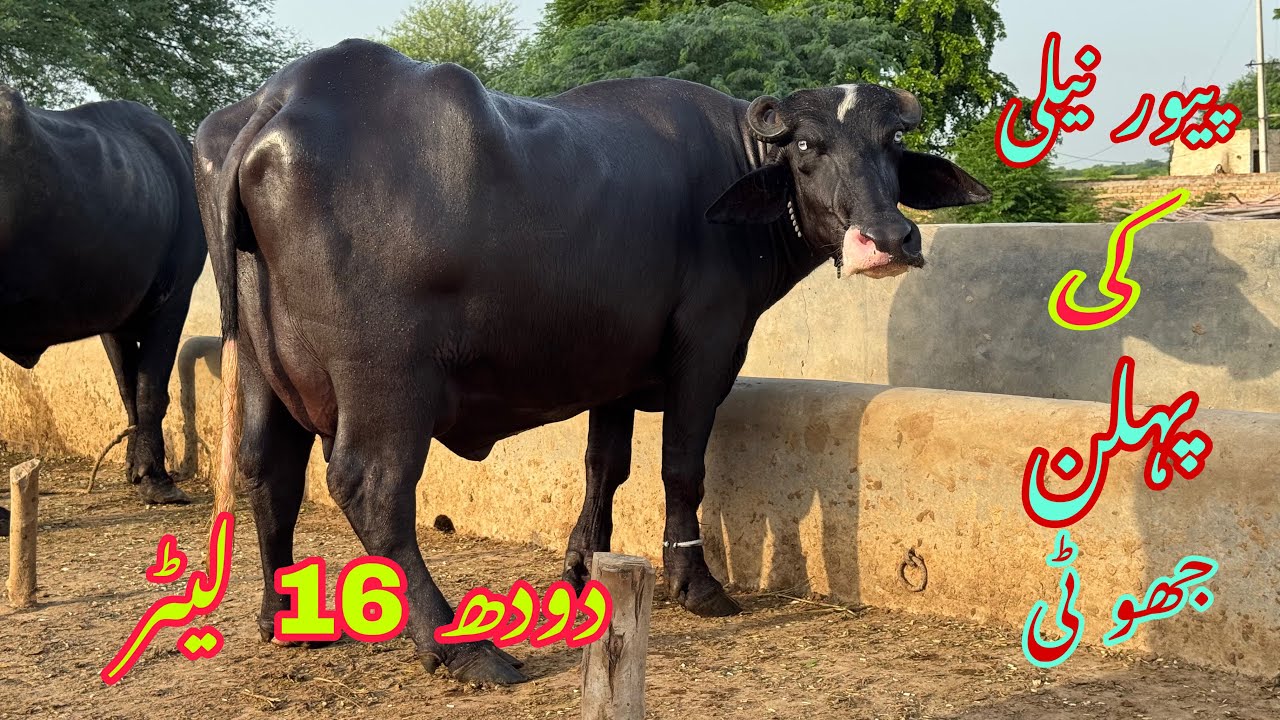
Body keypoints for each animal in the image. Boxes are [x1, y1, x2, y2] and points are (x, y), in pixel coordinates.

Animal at [1, 87, 206, 505]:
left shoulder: (117, 315)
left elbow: (128, 388)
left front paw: (136, 468)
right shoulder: (174, 300)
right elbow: (150, 390)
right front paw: (156, 479)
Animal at [194, 39, 989, 685]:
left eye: (891, 145)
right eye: (808, 148)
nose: (886, 239)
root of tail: (276, 103)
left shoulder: (617, 365)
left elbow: (605, 466)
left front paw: (583, 570)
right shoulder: (706, 348)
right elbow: (681, 467)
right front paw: (696, 583)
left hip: (262, 367)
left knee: (270, 471)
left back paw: (287, 621)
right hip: (387, 381)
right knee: (371, 489)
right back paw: (461, 648)